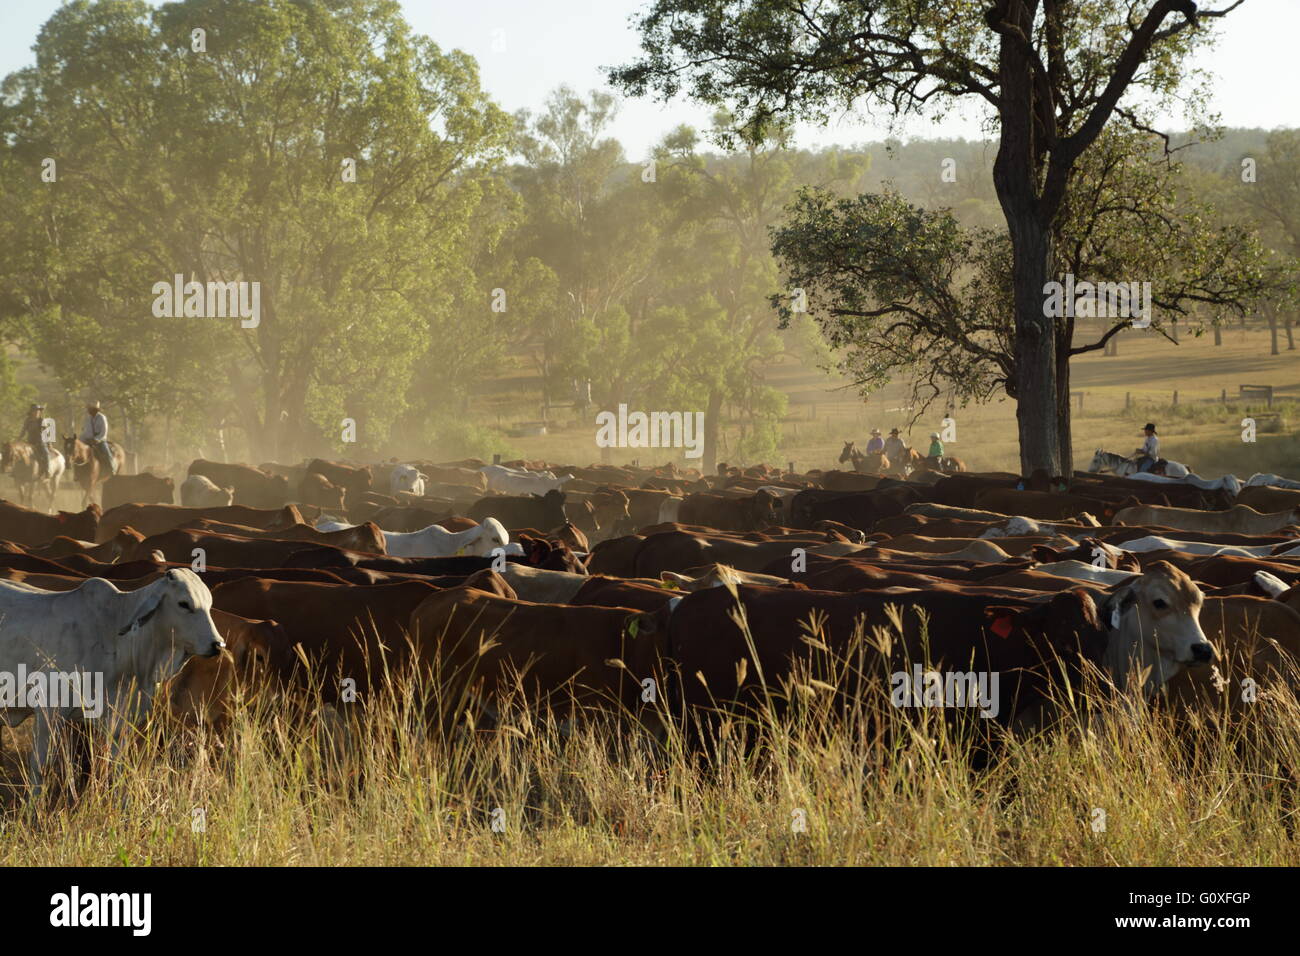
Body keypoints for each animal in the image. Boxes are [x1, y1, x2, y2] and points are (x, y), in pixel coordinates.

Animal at [0, 568, 223, 797]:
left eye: (209, 604)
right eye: (184, 604)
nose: (218, 644)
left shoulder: (120, 723)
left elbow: (118, 770)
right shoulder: (49, 714)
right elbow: (40, 770)